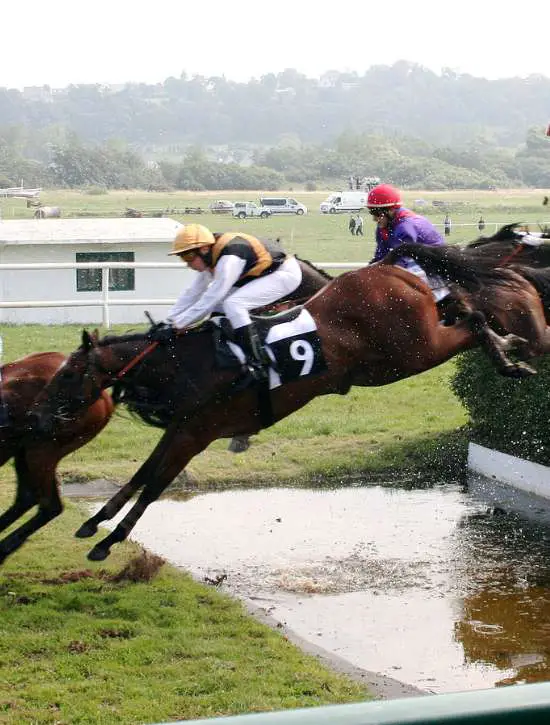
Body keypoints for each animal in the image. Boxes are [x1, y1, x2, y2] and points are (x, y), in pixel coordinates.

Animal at [28, 262, 531, 563]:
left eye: (67, 375)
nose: (38, 418)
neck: (187, 364)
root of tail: (396, 273)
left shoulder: (197, 433)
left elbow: (154, 485)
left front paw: (109, 541)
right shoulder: (182, 428)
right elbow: (141, 473)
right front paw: (94, 521)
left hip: (410, 353)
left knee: (470, 322)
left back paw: (508, 353)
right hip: (392, 361)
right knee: (464, 313)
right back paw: (507, 346)